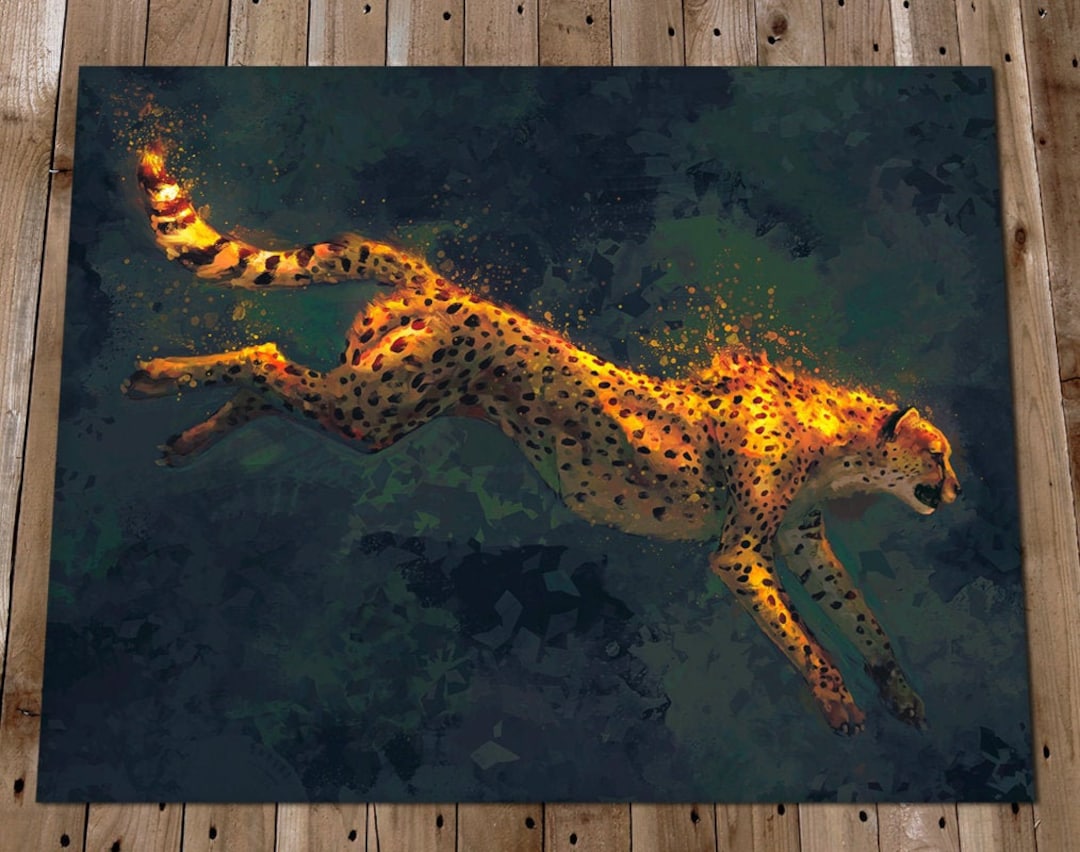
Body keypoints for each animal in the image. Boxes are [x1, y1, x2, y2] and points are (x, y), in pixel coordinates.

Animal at [122, 142, 961, 734]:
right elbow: (802, 632)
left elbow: (858, 614)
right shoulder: (744, 551)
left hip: (366, 405)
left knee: (269, 384)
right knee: (265, 358)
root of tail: (443, 285)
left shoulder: (802, 539)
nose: (954, 491)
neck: (837, 441)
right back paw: (156, 376)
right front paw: (837, 698)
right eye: (940, 454)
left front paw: (901, 693)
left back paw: (184, 441)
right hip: (374, 410)